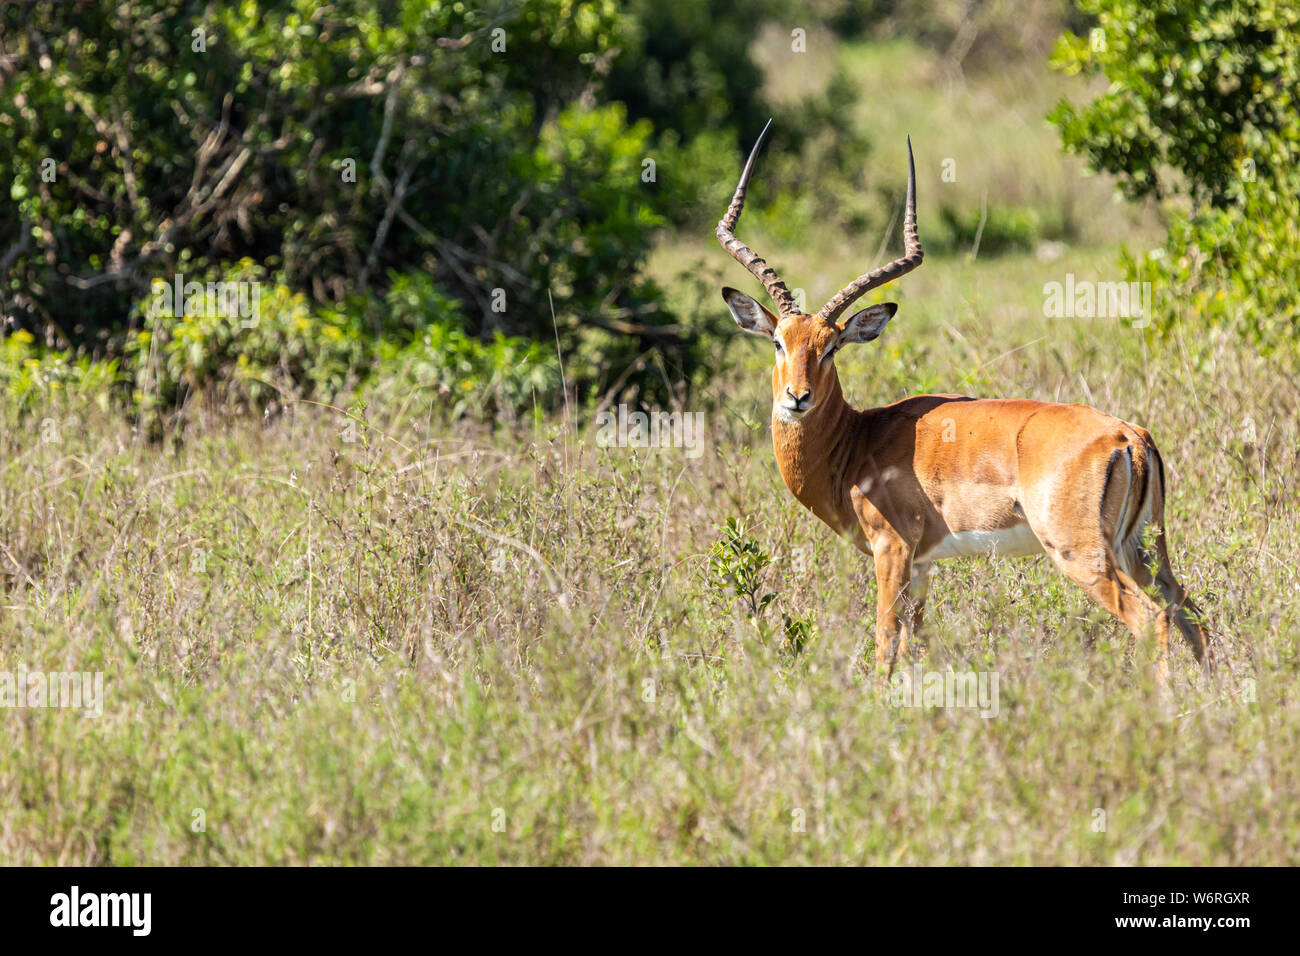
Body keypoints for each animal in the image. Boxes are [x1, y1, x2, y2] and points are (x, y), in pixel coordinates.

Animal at [716, 122, 1208, 686]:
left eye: (832, 346)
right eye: (779, 341)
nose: (797, 397)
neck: (854, 444)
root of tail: (1131, 437)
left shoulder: (892, 550)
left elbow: (886, 641)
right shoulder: (924, 562)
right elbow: (917, 643)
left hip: (1083, 554)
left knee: (1152, 620)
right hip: (1143, 549)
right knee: (1191, 614)